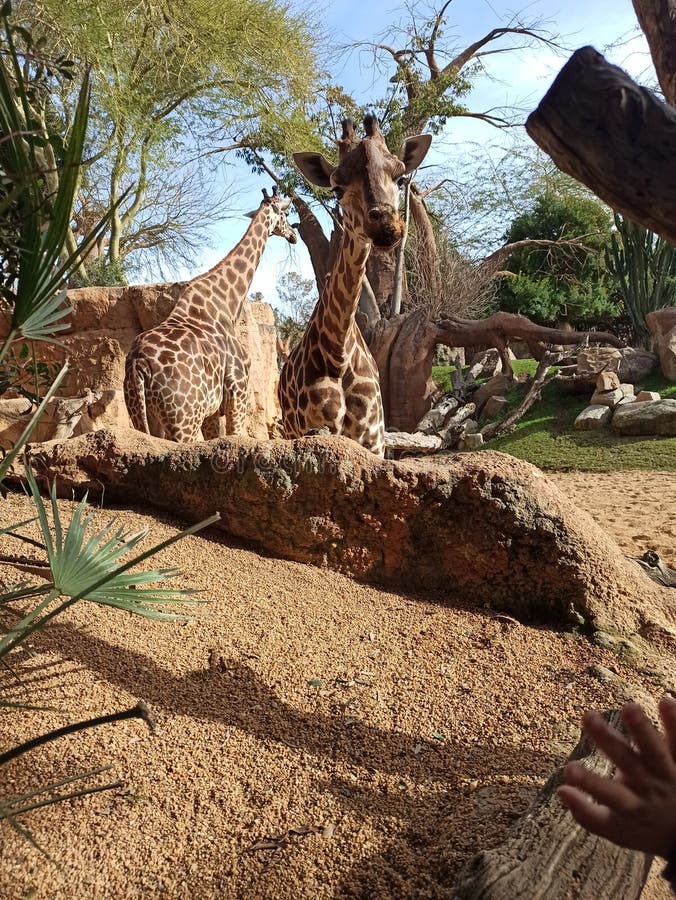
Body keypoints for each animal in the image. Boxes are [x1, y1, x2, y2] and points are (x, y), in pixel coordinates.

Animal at [124, 188, 296, 442]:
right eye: (285, 213)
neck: (226, 302)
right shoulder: (238, 391)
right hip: (184, 421)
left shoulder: (212, 411)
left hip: (143, 416)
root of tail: (138, 365)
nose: (293, 235)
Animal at [278, 115, 431, 457]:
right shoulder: (316, 431)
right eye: (336, 188)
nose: (386, 225)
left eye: (401, 178)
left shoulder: (374, 439)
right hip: (290, 431)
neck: (338, 354)